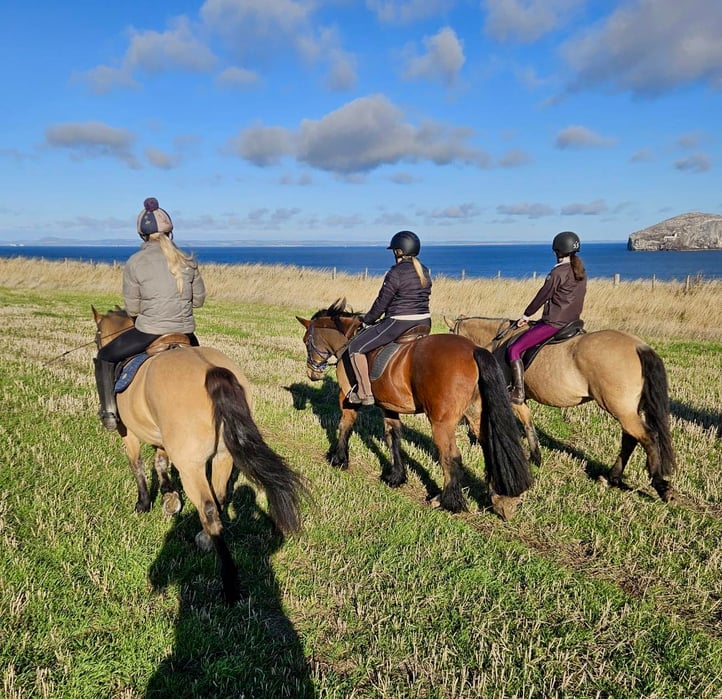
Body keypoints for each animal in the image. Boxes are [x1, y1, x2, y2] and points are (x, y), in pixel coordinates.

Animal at [92, 306, 305, 603]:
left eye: (98, 334)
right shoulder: (163, 440)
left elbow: (138, 466)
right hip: (223, 457)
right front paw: (169, 498)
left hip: (191, 467)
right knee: (220, 497)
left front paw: (143, 504)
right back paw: (204, 539)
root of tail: (212, 370)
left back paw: (229, 584)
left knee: (208, 508)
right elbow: (160, 462)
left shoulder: (129, 434)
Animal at [295, 299, 533, 519]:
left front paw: (338, 459)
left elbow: (345, 426)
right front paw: (396, 477)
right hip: (475, 415)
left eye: (306, 341)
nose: (312, 373)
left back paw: (448, 501)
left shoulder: (347, 399)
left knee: (452, 456)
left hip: (441, 422)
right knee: (489, 448)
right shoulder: (389, 407)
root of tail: (474, 350)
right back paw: (500, 500)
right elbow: (393, 438)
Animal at [445, 315, 677, 503]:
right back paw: (612, 478)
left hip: (620, 409)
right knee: (630, 439)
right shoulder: (522, 401)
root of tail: (639, 346)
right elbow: (529, 423)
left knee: (648, 437)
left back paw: (660, 485)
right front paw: (536, 457)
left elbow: (521, 423)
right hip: (627, 410)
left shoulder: (513, 399)